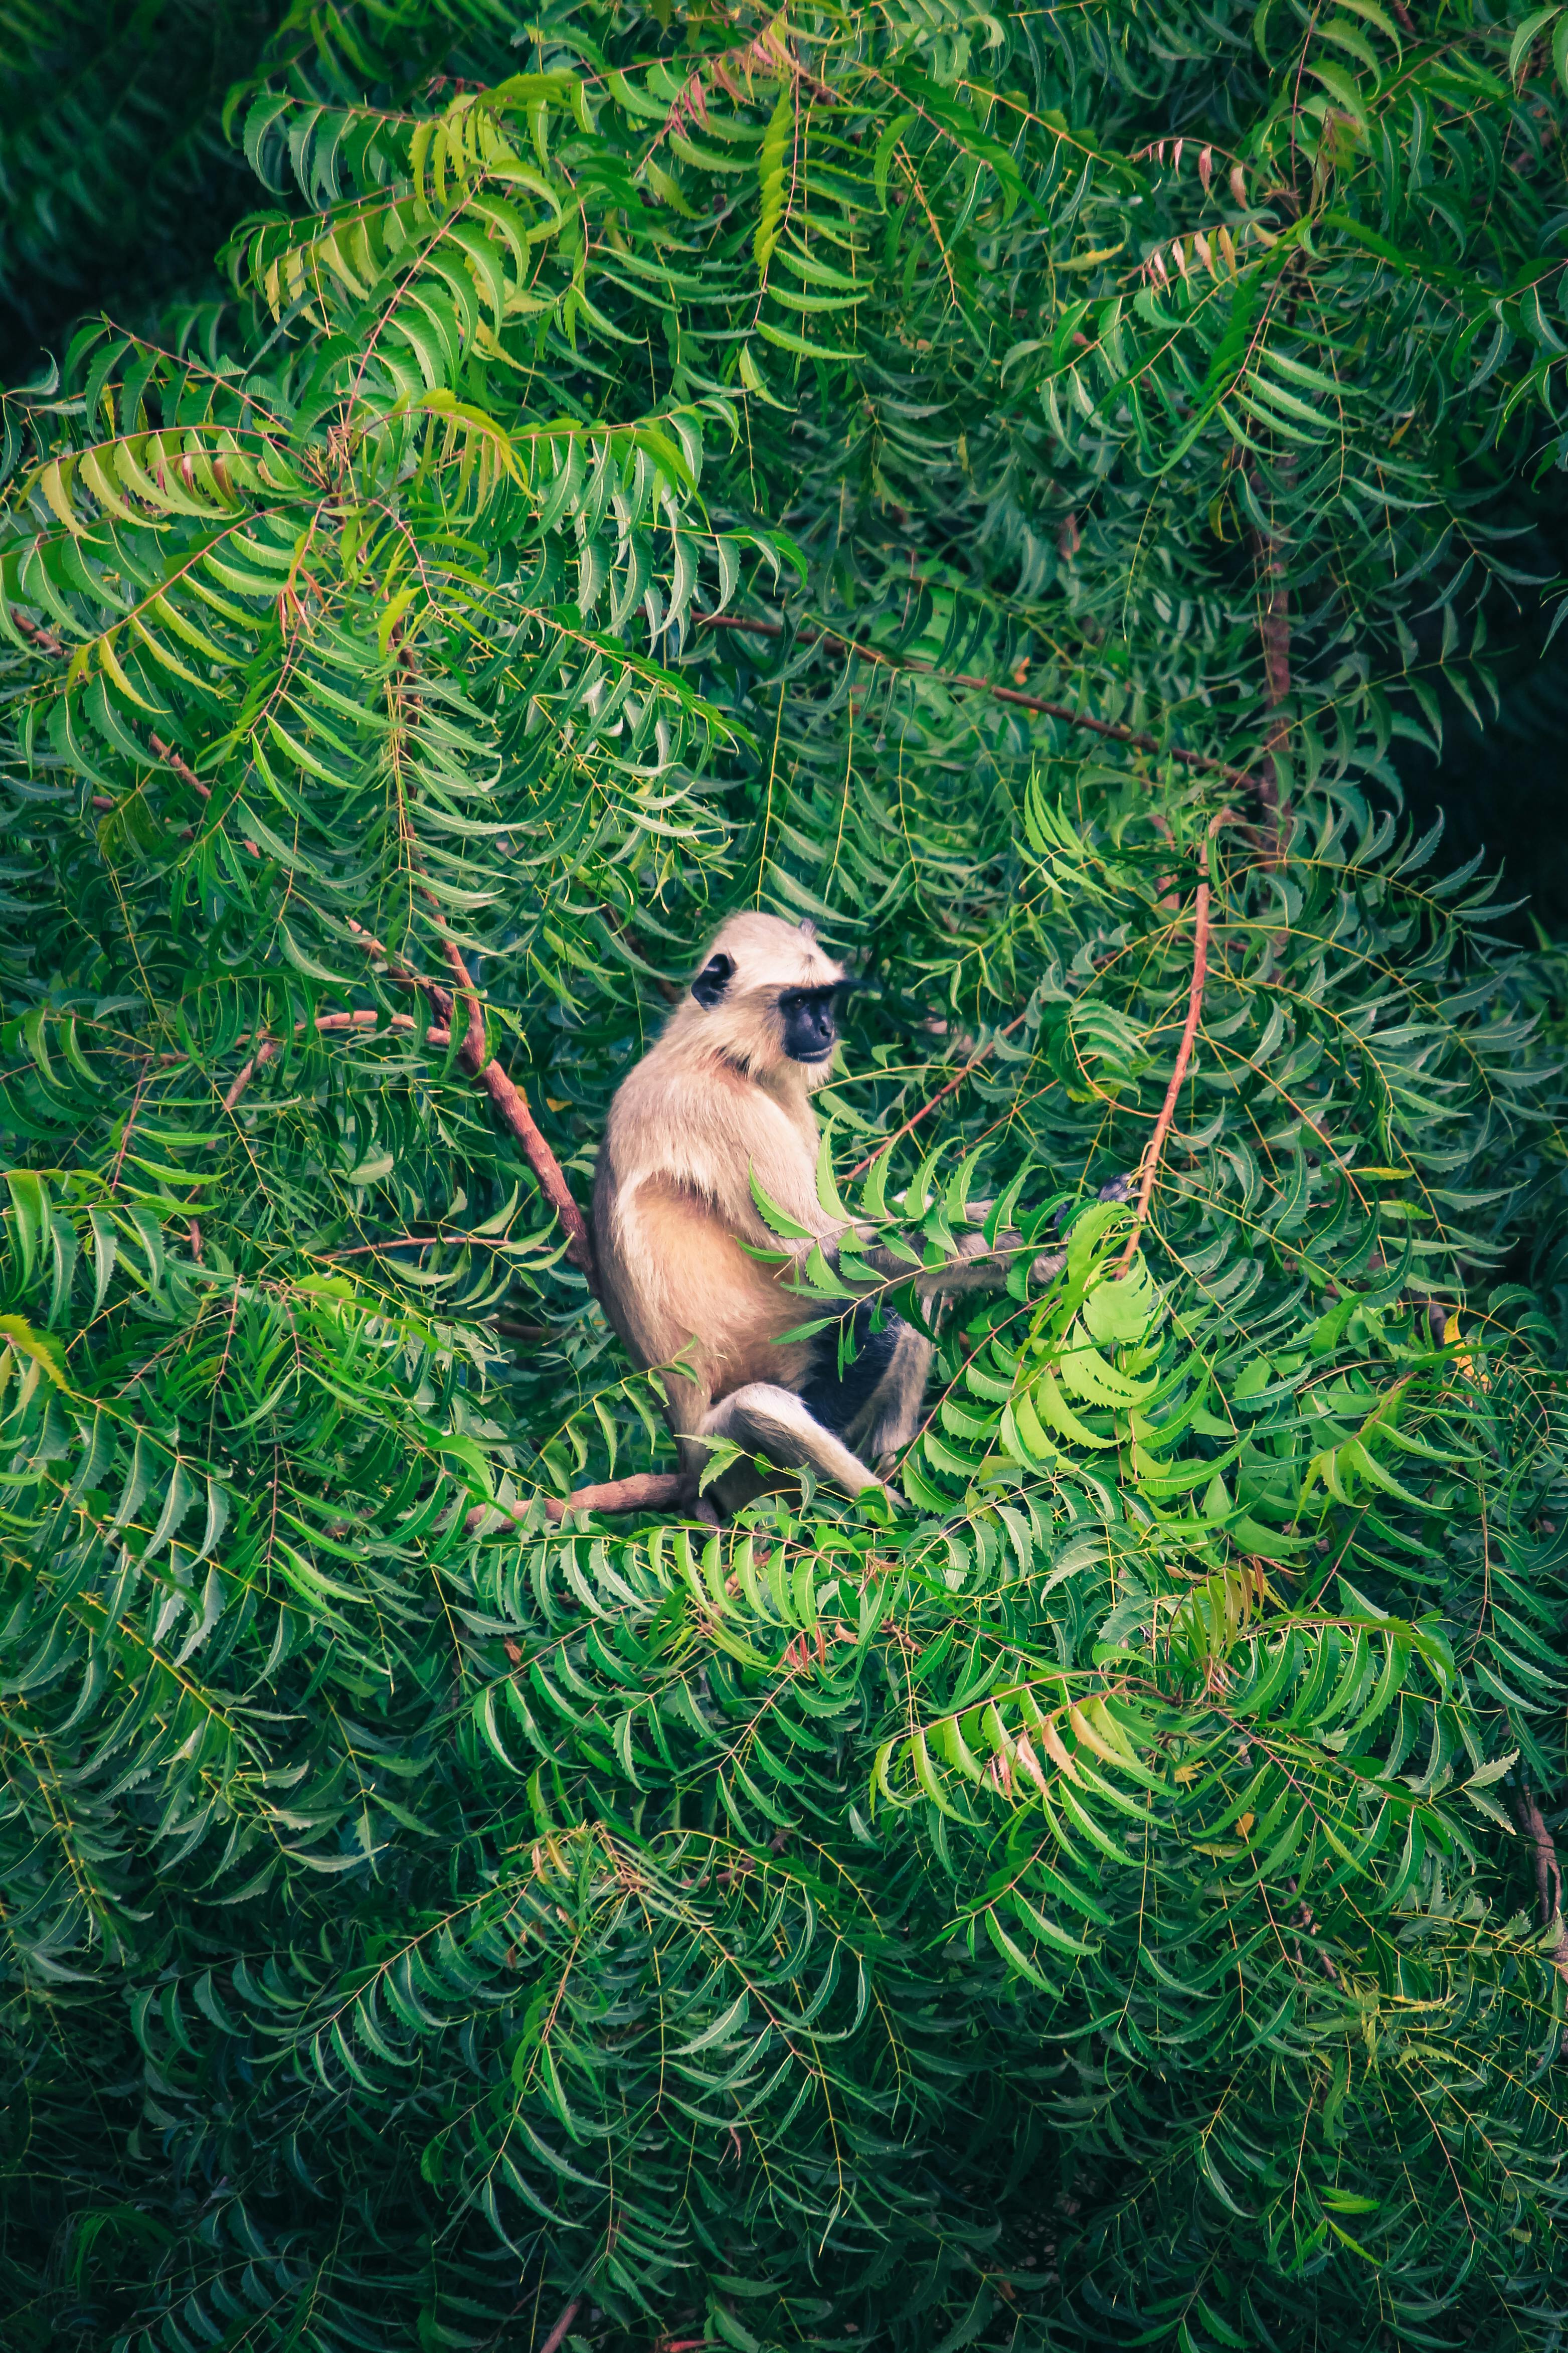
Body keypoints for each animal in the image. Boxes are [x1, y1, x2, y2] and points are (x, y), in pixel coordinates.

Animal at [592, 911, 1052, 1513]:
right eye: (795, 1002)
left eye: (825, 999)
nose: (826, 1028)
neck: (716, 1053)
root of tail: (690, 1464)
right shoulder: (714, 1107)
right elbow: (827, 1259)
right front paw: (1044, 1249)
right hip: (732, 1460)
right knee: (763, 1405)